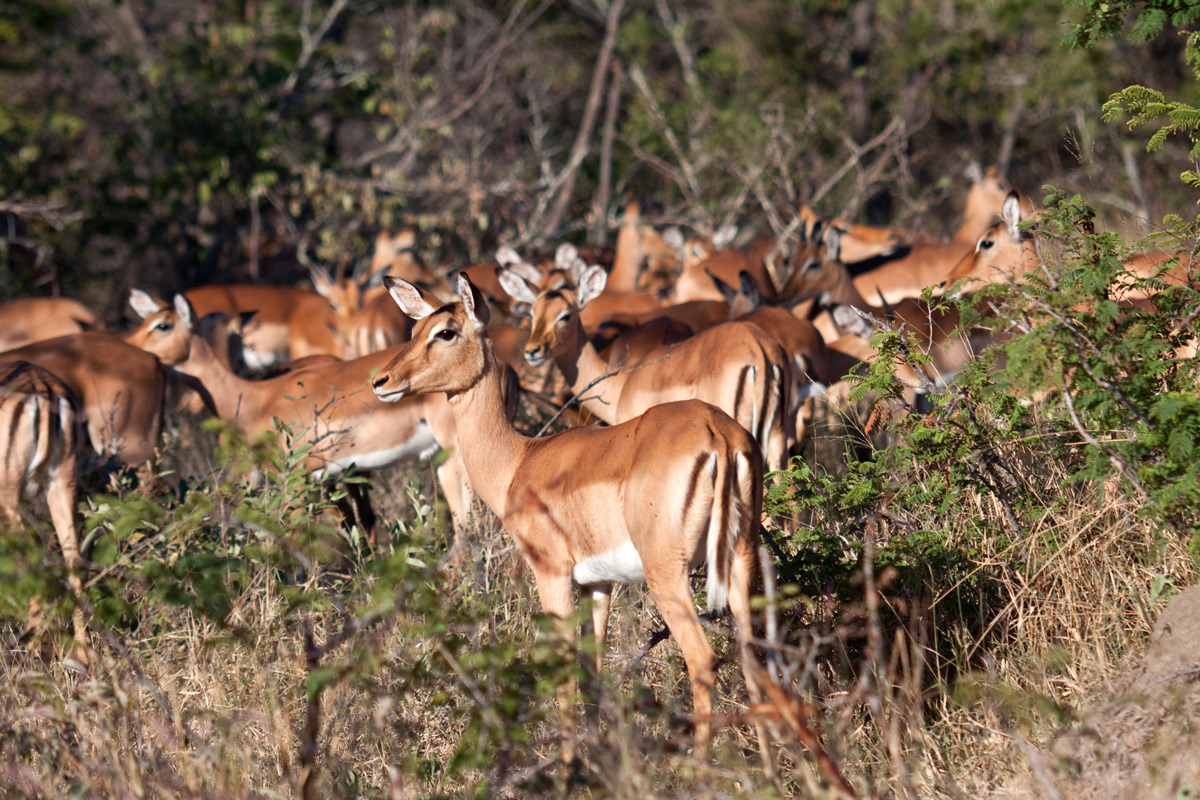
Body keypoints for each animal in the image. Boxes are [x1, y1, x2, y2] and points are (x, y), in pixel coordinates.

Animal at [372, 274, 772, 769]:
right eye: (413, 329)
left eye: (445, 331)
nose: (381, 381)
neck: (518, 461)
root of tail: (718, 434)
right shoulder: (598, 584)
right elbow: (591, 673)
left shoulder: (552, 574)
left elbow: (562, 673)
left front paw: (568, 767)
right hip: (739, 559)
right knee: (755, 661)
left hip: (669, 576)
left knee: (702, 661)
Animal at [499, 262, 793, 473]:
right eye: (532, 313)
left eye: (565, 315)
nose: (533, 351)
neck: (620, 384)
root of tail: (759, 348)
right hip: (778, 440)